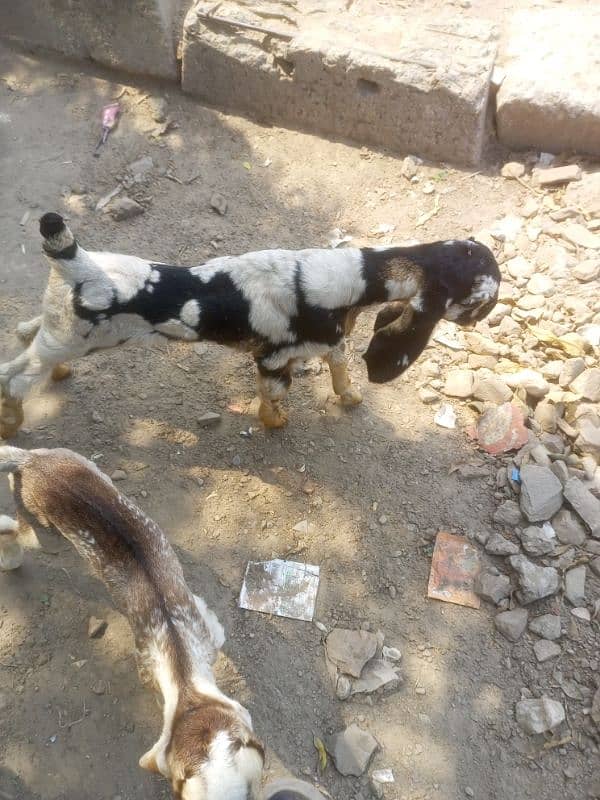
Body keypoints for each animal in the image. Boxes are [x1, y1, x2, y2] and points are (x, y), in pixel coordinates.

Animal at [0, 213, 500, 436]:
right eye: (482, 303)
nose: (484, 322)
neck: (348, 277)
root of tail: (77, 264)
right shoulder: (273, 360)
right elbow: (274, 398)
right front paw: (274, 422)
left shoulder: (331, 341)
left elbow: (340, 366)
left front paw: (349, 395)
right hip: (75, 338)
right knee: (14, 377)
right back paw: (11, 421)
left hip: (64, 331)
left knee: (27, 345)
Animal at [0, 445, 264, 800]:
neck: (180, 661)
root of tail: (29, 459)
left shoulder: (207, 627)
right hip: (45, 530)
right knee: (16, 530)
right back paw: (11, 559)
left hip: (83, 466)